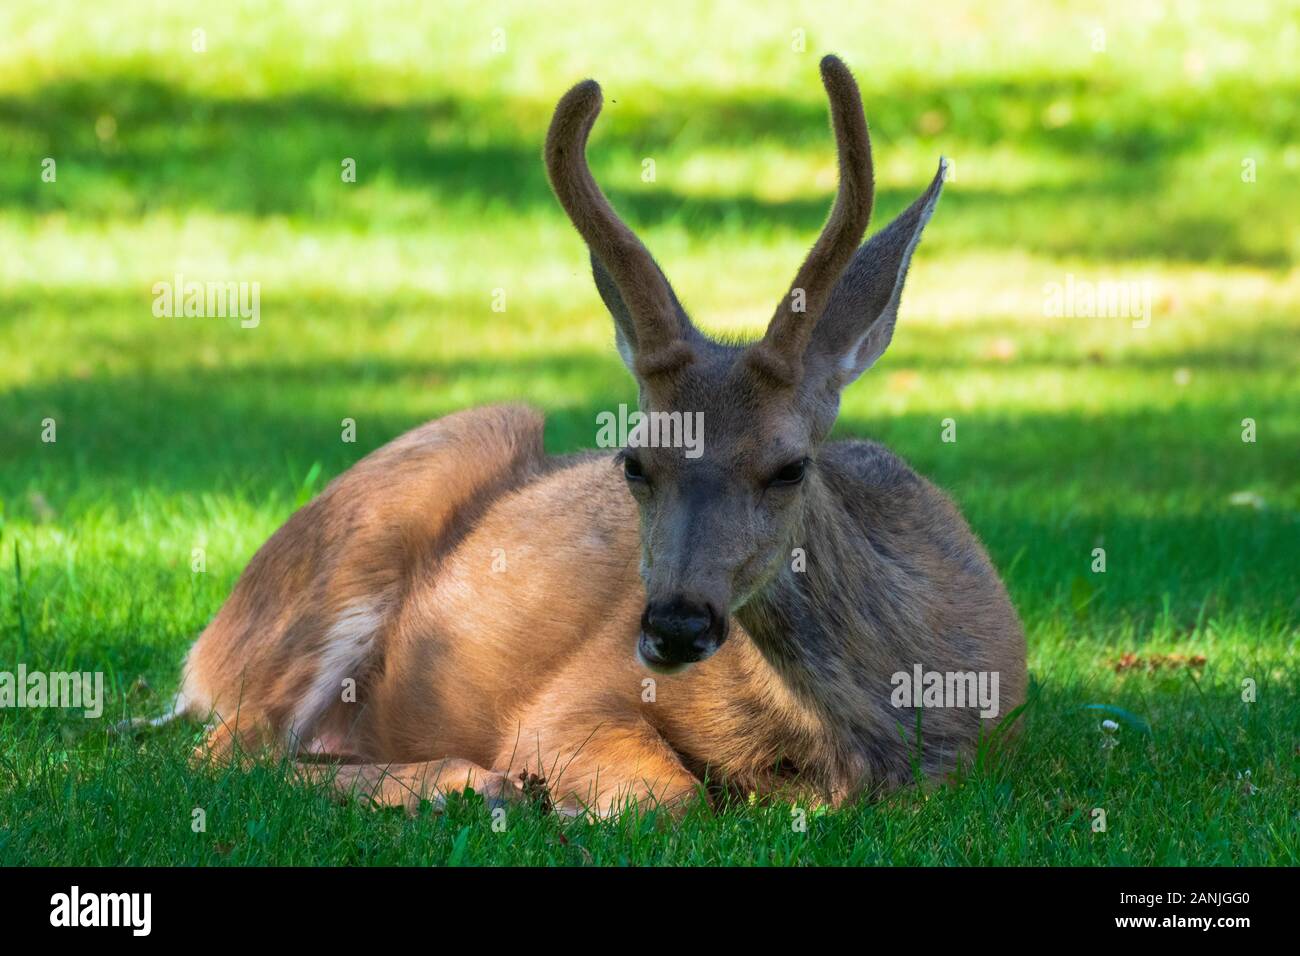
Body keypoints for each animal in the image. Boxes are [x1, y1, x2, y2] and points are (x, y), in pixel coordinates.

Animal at [166, 55, 1026, 817]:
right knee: (227, 752)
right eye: (634, 461)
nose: (675, 625)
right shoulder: (569, 695)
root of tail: (205, 651)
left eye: (790, 467)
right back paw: (465, 784)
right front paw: (546, 793)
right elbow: (671, 798)